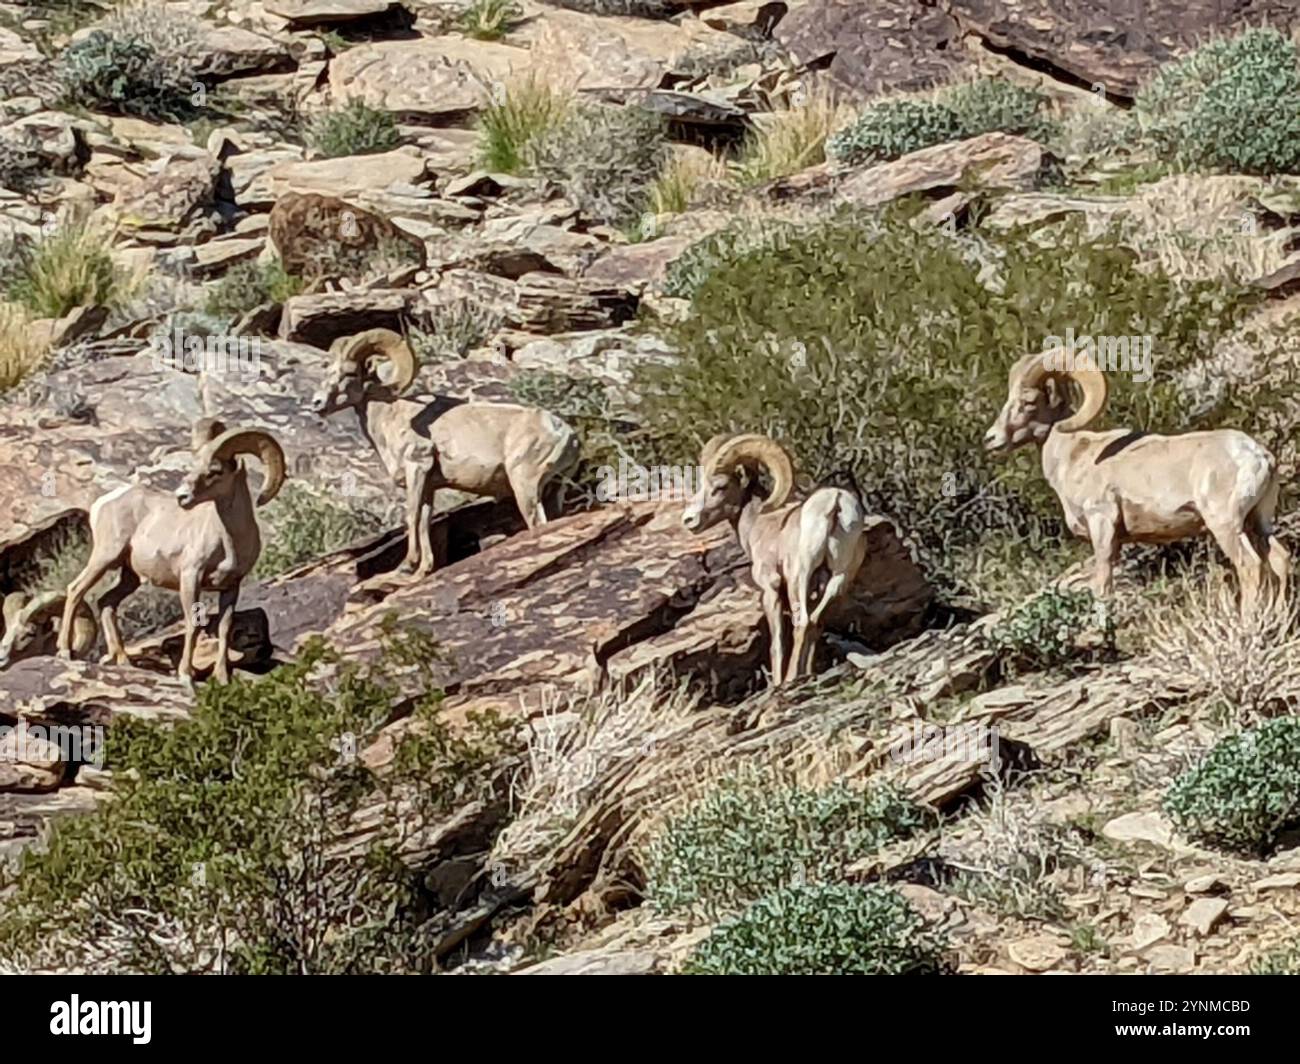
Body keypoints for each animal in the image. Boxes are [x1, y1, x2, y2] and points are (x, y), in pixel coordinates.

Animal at [57, 419, 286, 684]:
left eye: (215, 471)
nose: (182, 497)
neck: (229, 540)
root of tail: (103, 503)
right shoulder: (190, 578)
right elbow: (193, 625)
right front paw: (186, 675)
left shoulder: (231, 586)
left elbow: (224, 628)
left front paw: (222, 678)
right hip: (104, 558)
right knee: (76, 590)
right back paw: (64, 651)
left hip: (130, 576)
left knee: (106, 602)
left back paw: (123, 660)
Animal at [309, 328, 580, 576]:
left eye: (350, 373)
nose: (317, 403)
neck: (391, 417)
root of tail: (566, 434)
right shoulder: (429, 486)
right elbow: (424, 522)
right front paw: (423, 570)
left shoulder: (417, 467)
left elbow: (411, 515)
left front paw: (407, 566)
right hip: (553, 490)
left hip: (525, 487)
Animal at [681, 433, 868, 686]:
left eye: (720, 487)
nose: (689, 520)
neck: (760, 525)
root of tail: (835, 502)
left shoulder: (771, 587)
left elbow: (777, 641)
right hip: (839, 578)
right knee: (816, 621)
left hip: (800, 576)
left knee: (803, 622)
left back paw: (789, 679)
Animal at [983, 350, 1289, 612]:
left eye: (1028, 402)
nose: (991, 439)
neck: (1075, 457)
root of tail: (1260, 456)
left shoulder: (1102, 523)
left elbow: (1103, 583)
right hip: (1257, 523)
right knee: (1279, 560)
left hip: (1225, 525)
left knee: (1250, 566)